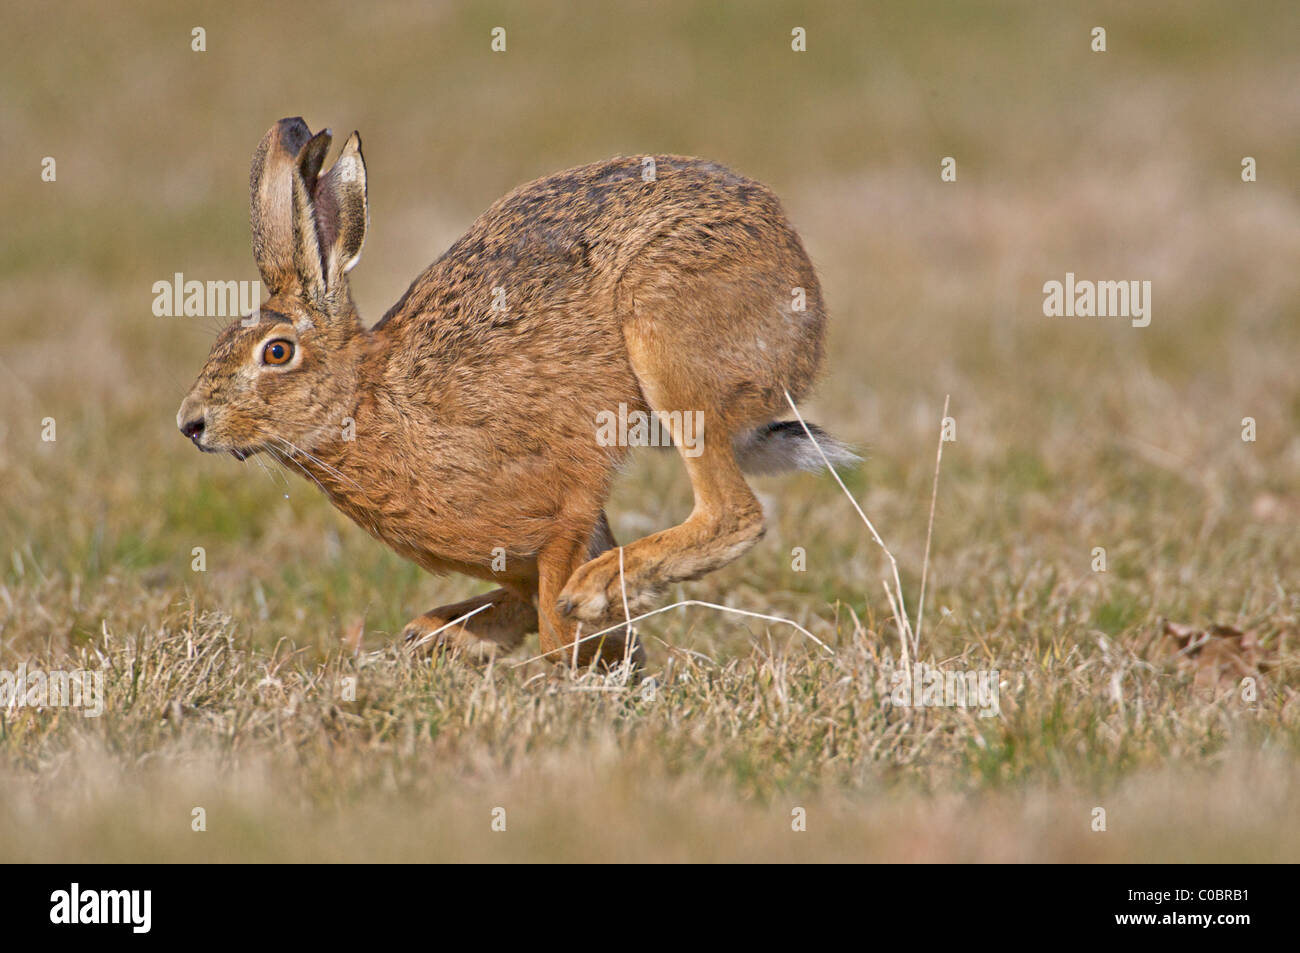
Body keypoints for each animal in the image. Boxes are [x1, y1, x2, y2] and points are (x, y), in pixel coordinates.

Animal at [177, 117, 856, 668]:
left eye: (277, 353)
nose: (191, 424)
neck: (366, 397)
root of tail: (798, 273)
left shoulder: (567, 500)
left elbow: (557, 612)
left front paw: (584, 637)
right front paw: (444, 633)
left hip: (670, 347)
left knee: (731, 514)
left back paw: (596, 588)